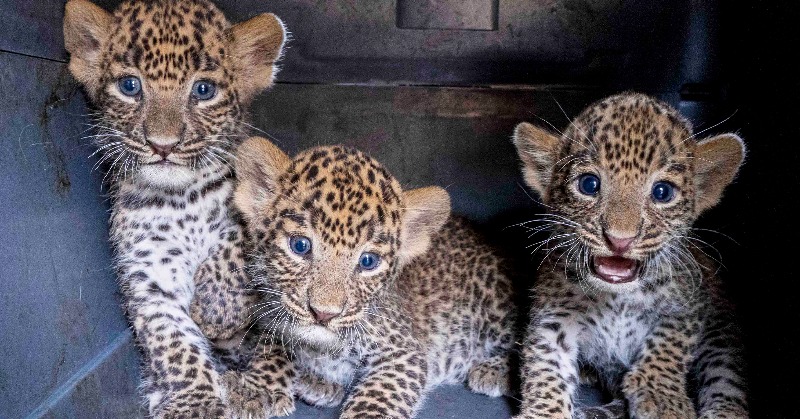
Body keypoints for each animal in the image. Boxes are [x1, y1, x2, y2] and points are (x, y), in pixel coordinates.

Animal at [63, 0, 294, 417]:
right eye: (130, 86)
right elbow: (171, 341)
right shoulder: (149, 274)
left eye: (204, 90)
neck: (178, 199)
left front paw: (216, 313)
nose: (163, 145)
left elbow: (233, 247)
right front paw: (195, 402)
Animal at [223, 136, 518, 418]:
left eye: (368, 262)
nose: (324, 314)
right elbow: (271, 351)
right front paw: (256, 389)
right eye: (300, 246)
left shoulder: (403, 352)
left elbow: (378, 397)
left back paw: (493, 371)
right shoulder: (269, 320)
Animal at [510, 93, 748, 419]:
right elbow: (546, 366)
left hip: (722, 335)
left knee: (726, 379)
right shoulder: (555, 316)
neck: (616, 300)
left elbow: (670, 342)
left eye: (662, 192)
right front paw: (545, 412)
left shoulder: (690, 301)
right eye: (589, 184)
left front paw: (661, 396)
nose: (619, 240)